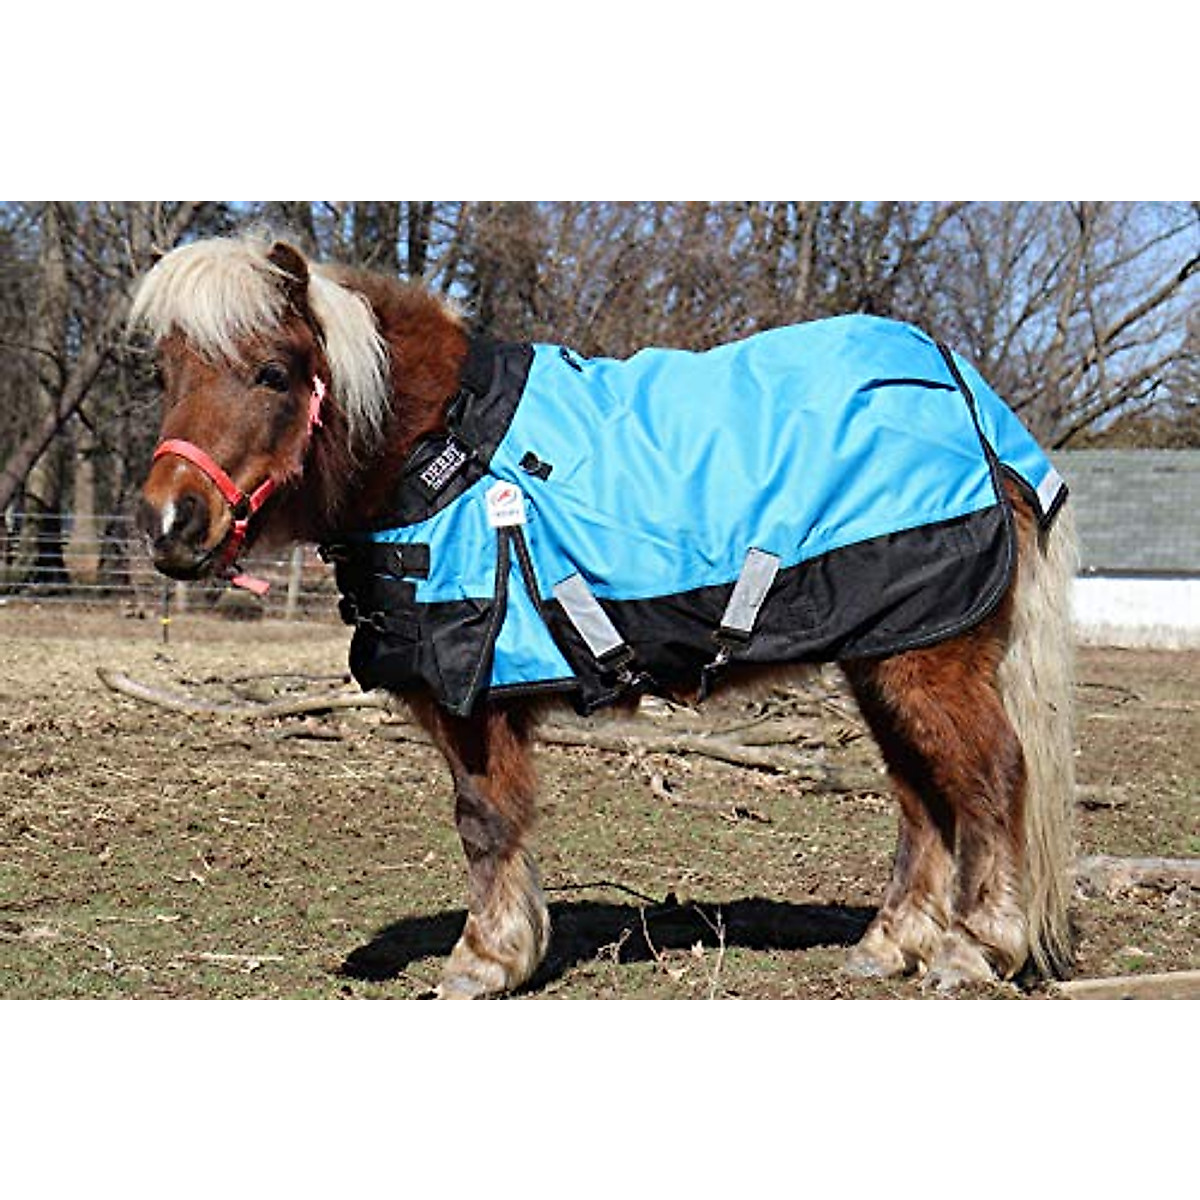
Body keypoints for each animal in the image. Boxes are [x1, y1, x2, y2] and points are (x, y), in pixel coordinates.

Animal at [130, 232, 1078, 998]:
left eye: (273, 373)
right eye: (165, 375)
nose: (169, 523)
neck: (446, 447)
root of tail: (976, 408)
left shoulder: (477, 700)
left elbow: (484, 820)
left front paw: (485, 960)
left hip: (929, 660)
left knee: (991, 777)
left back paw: (975, 948)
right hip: (884, 654)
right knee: (922, 794)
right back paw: (892, 944)